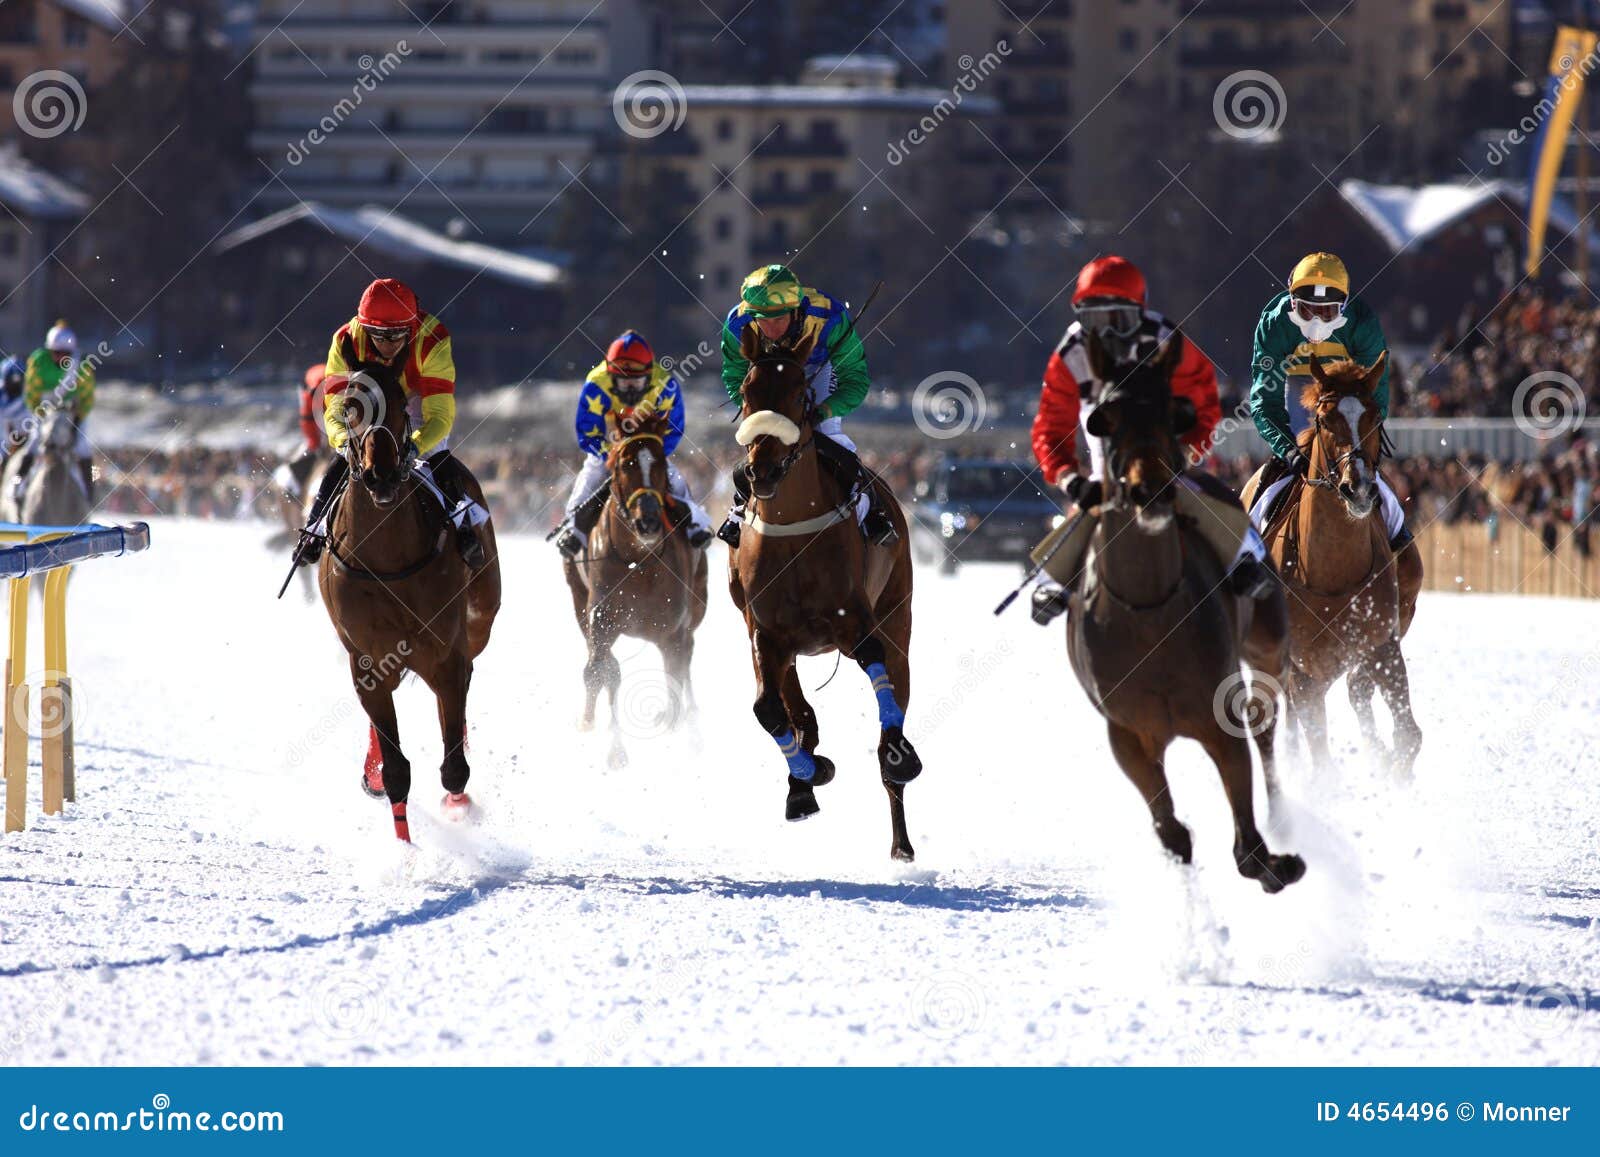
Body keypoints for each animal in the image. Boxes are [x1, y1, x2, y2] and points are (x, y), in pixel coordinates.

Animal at [317, 368, 501, 841]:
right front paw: (405, 850)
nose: (380, 476)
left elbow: (454, 766)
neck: (387, 558)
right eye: (350, 406)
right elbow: (397, 767)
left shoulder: (445, 653)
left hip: (479, 622)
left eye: (401, 404)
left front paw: (459, 810)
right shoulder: (366, 656)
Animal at [562, 409, 708, 769]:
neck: (639, 562)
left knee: (686, 664)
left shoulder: (673, 630)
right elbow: (602, 670)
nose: (649, 521)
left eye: (659, 462)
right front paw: (613, 748)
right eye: (624, 464)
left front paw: (673, 723)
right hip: (577, 598)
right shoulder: (601, 618)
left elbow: (675, 680)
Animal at [727, 326, 921, 861]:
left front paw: (896, 759)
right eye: (746, 392)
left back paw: (901, 839)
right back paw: (804, 775)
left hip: (898, 612)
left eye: (800, 395)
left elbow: (876, 667)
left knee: (895, 691)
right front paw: (808, 778)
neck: (793, 532)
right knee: (795, 709)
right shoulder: (765, 630)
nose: (763, 471)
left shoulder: (855, 623)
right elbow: (768, 708)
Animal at [1065, 331, 1304, 893]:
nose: (1149, 486)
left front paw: (1279, 863)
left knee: (1265, 716)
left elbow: (1248, 846)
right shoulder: (1129, 732)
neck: (1149, 610)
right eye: (1103, 418)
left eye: (1174, 411)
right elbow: (1173, 833)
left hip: (1267, 638)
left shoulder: (1216, 713)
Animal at [1240, 353, 1422, 777]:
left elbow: (1407, 734)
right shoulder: (1303, 667)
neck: (1332, 570)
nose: (1358, 488)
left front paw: (1393, 768)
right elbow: (1319, 753)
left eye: (1374, 415)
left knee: (1356, 690)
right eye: (1324, 420)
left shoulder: (1382, 644)